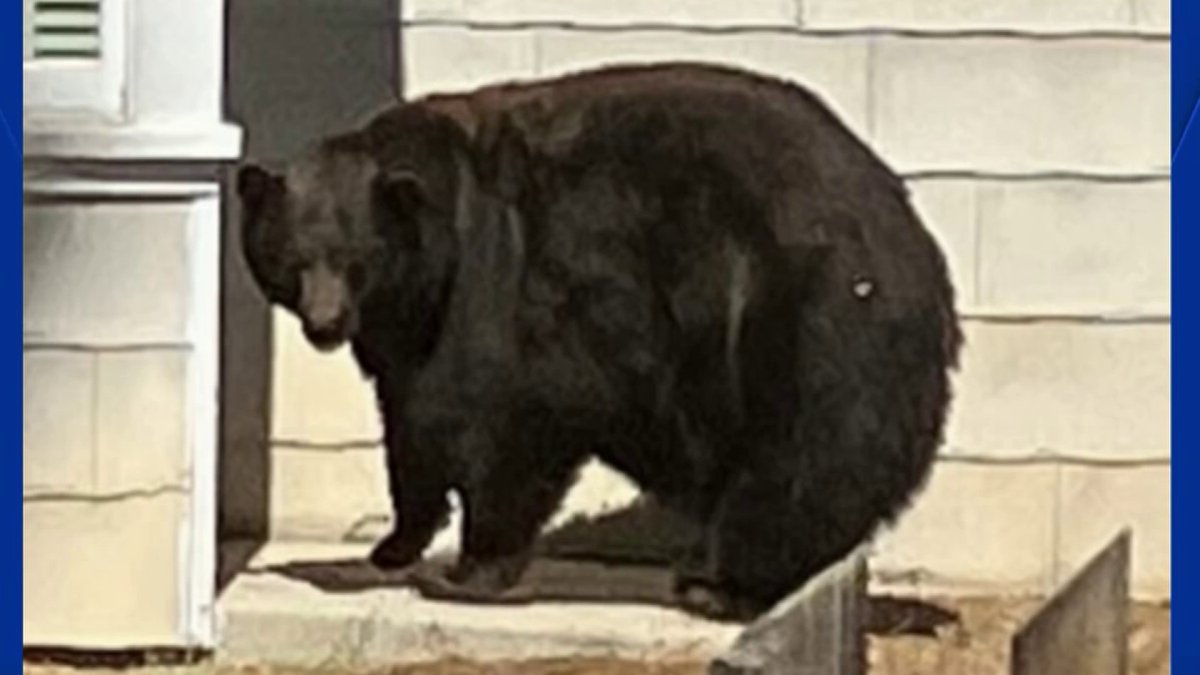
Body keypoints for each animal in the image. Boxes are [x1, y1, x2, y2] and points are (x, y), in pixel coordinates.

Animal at [236, 62, 962, 621]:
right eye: (293, 258)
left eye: (357, 258)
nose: (325, 324)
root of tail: (914, 241)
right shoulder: (408, 334)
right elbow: (412, 425)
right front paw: (393, 544)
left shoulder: (509, 285)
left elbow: (508, 421)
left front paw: (468, 569)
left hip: (800, 317)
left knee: (800, 456)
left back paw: (719, 583)